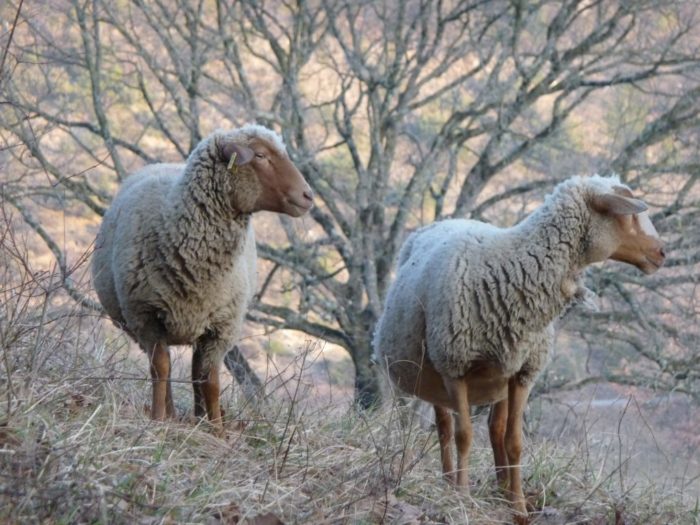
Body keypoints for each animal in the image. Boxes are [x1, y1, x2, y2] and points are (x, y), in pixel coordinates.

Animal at [91, 124, 314, 434]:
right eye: (260, 155)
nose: (308, 196)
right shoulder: (146, 317)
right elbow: (161, 369)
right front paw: (157, 420)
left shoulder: (221, 327)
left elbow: (209, 379)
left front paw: (216, 430)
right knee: (166, 369)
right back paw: (172, 414)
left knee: (197, 370)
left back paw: (198, 417)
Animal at [374, 175, 664, 520]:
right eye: (627, 215)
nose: (662, 252)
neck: (511, 263)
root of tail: (443, 221)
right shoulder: (454, 366)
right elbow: (463, 436)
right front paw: (463, 497)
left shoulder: (524, 372)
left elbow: (514, 441)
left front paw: (519, 508)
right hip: (431, 372)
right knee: (445, 428)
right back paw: (448, 484)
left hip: (498, 376)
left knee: (495, 429)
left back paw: (499, 491)